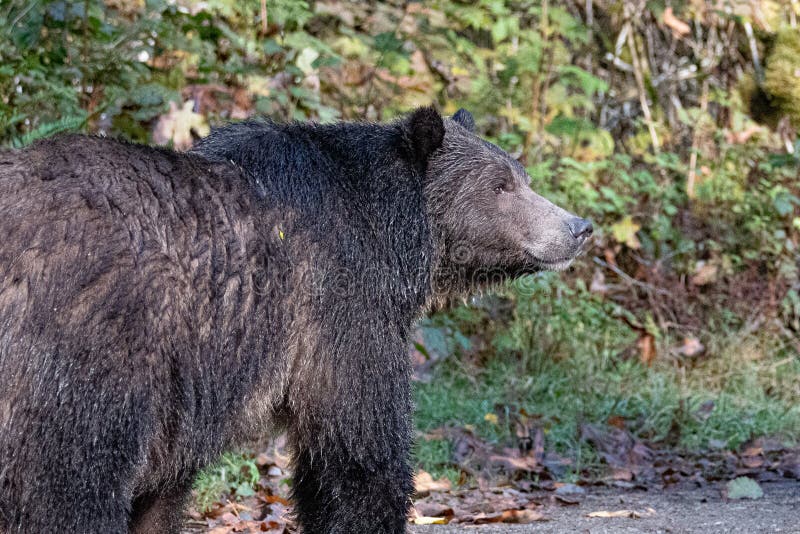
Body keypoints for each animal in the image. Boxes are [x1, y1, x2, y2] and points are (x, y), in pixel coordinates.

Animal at [0, 107, 592, 534]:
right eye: (501, 184)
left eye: (522, 176)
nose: (578, 226)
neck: (395, 232)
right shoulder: (338, 303)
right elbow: (359, 444)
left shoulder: (187, 392)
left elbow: (163, 492)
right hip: (92, 342)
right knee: (74, 479)